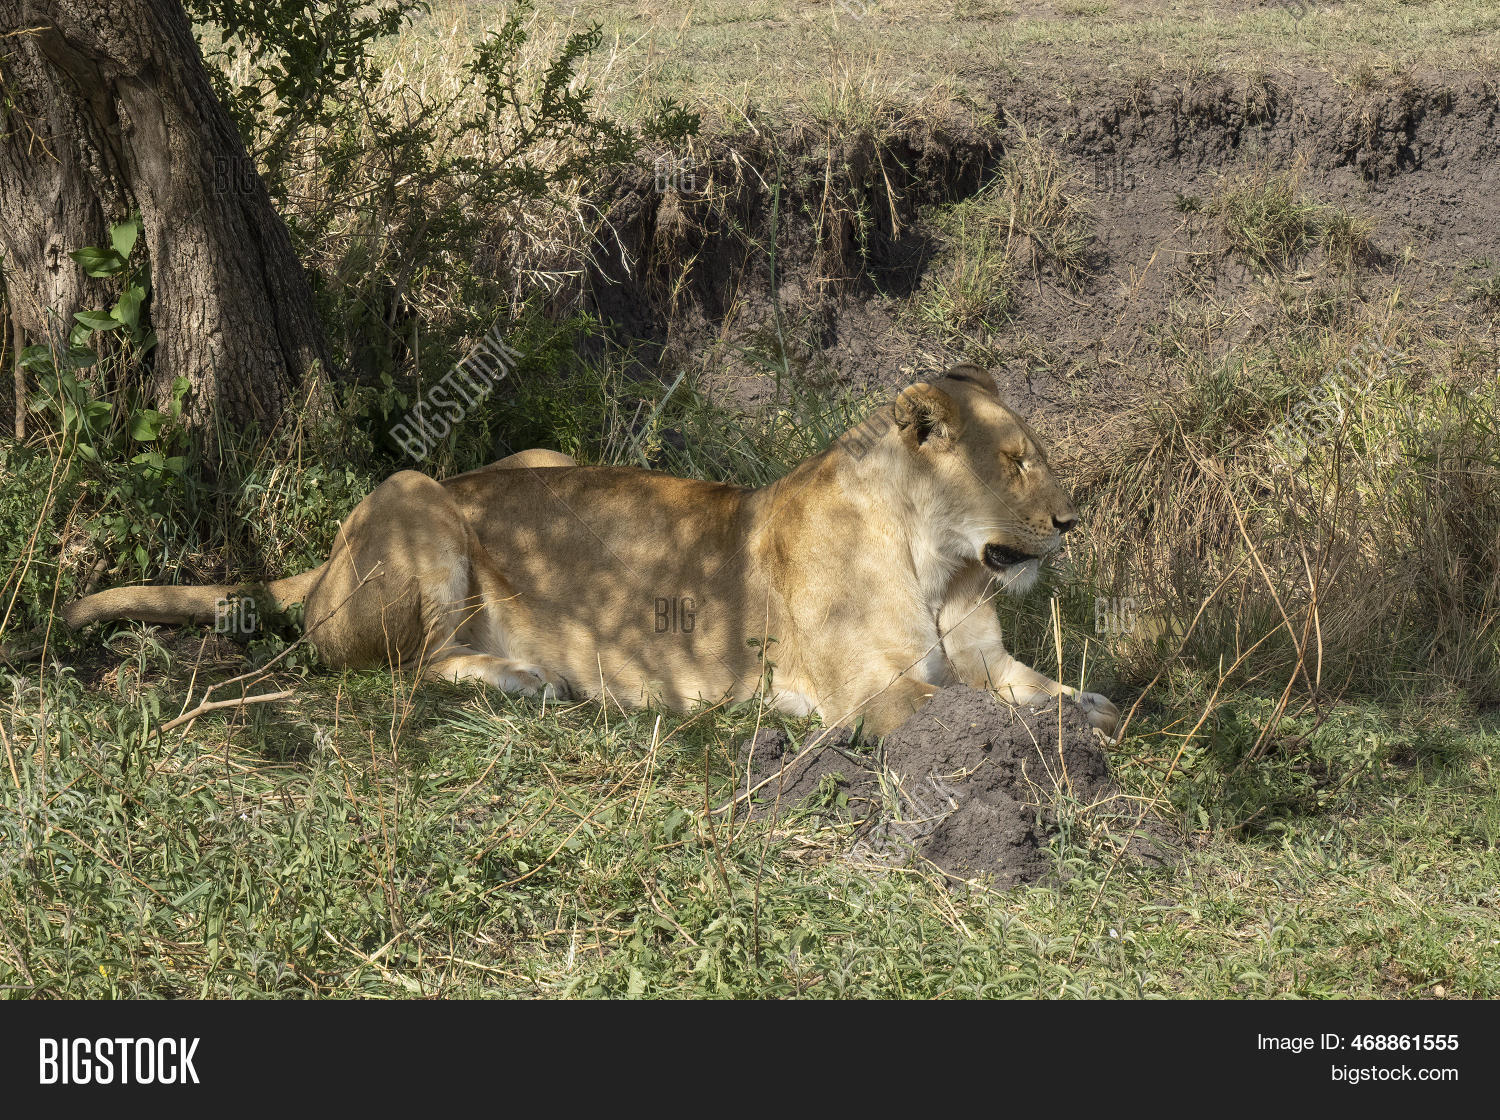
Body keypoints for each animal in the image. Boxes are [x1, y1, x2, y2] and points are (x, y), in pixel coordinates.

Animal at [62, 364, 1119, 738]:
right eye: (1017, 464)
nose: (1071, 524)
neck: (942, 565)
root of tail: (324, 558)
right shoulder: (874, 695)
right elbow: (988, 722)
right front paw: (1063, 747)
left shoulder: (987, 658)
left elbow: (1044, 692)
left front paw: (1097, 710)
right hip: (417, 499)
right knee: (395, 669)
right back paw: (526, 679)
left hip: (536, 455)